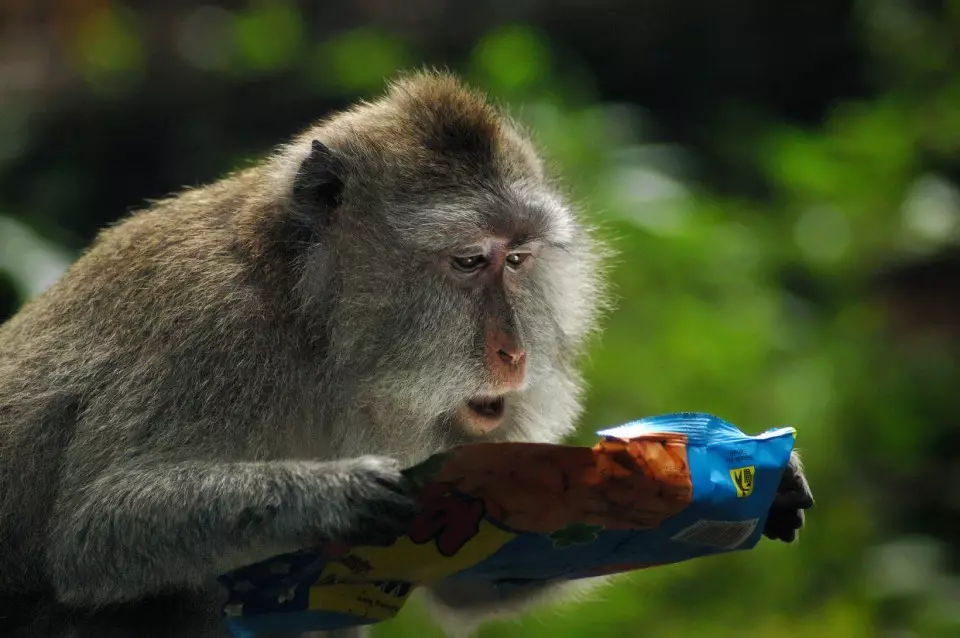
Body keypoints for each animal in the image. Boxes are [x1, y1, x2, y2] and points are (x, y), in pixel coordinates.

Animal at [0, 72, 812, 636]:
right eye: (468, 262)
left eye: (518, 260)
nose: (513, 353)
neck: (311, 327)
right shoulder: (205, 330)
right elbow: (94, 531)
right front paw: (337, 494)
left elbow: (471, 574)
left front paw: (772, 483)